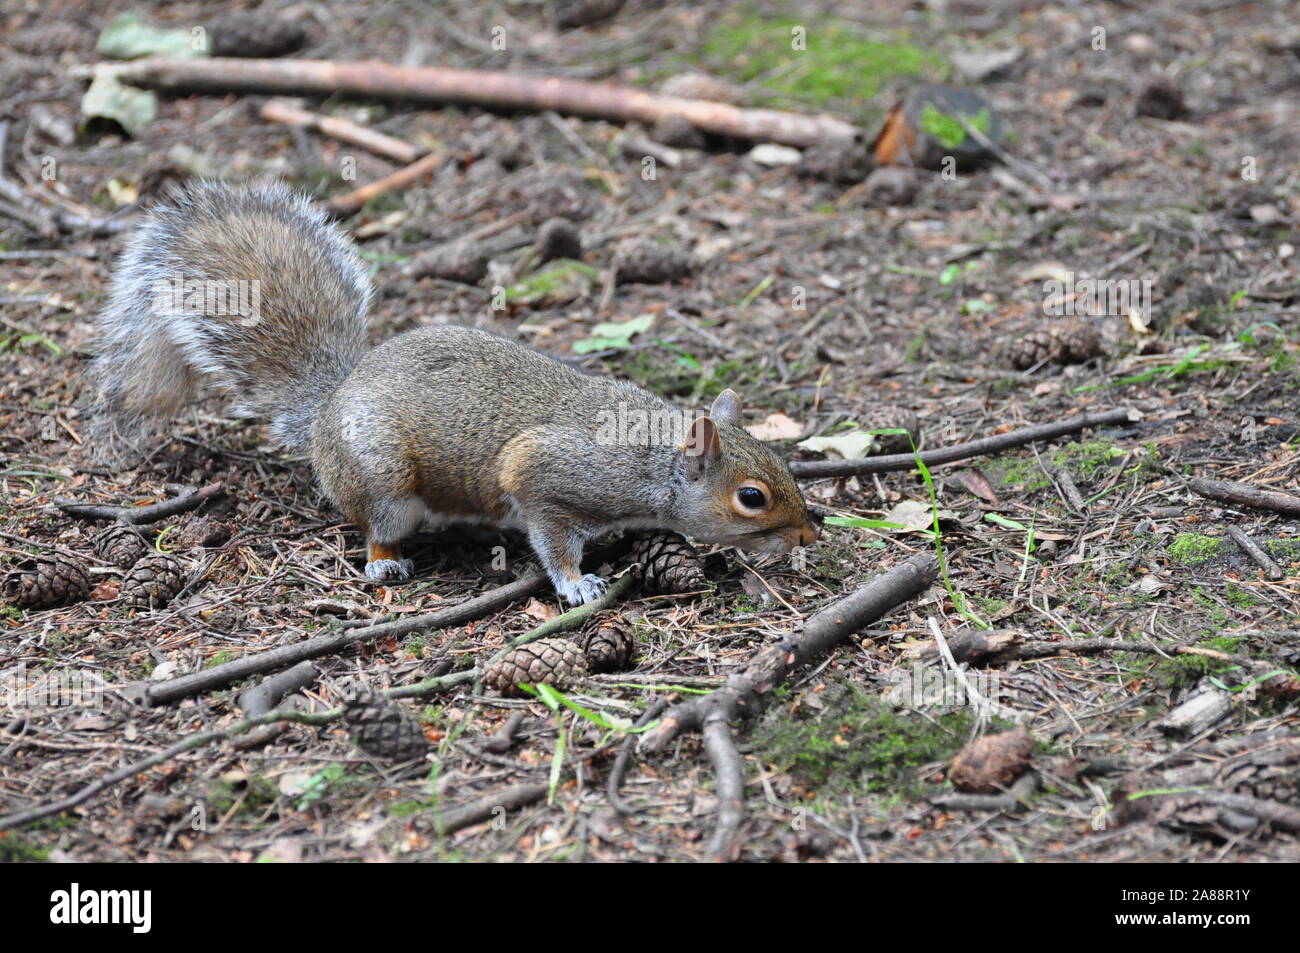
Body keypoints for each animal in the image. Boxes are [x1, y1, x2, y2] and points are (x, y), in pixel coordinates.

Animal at [89, 181, 818, 604]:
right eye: (752, 498)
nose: (811, 534)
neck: (651, 459)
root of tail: (328, 408)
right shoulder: (547, 476)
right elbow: (553, 538)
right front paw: (577, 583)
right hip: (382, 480)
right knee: (374, 528)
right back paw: (385, 564)